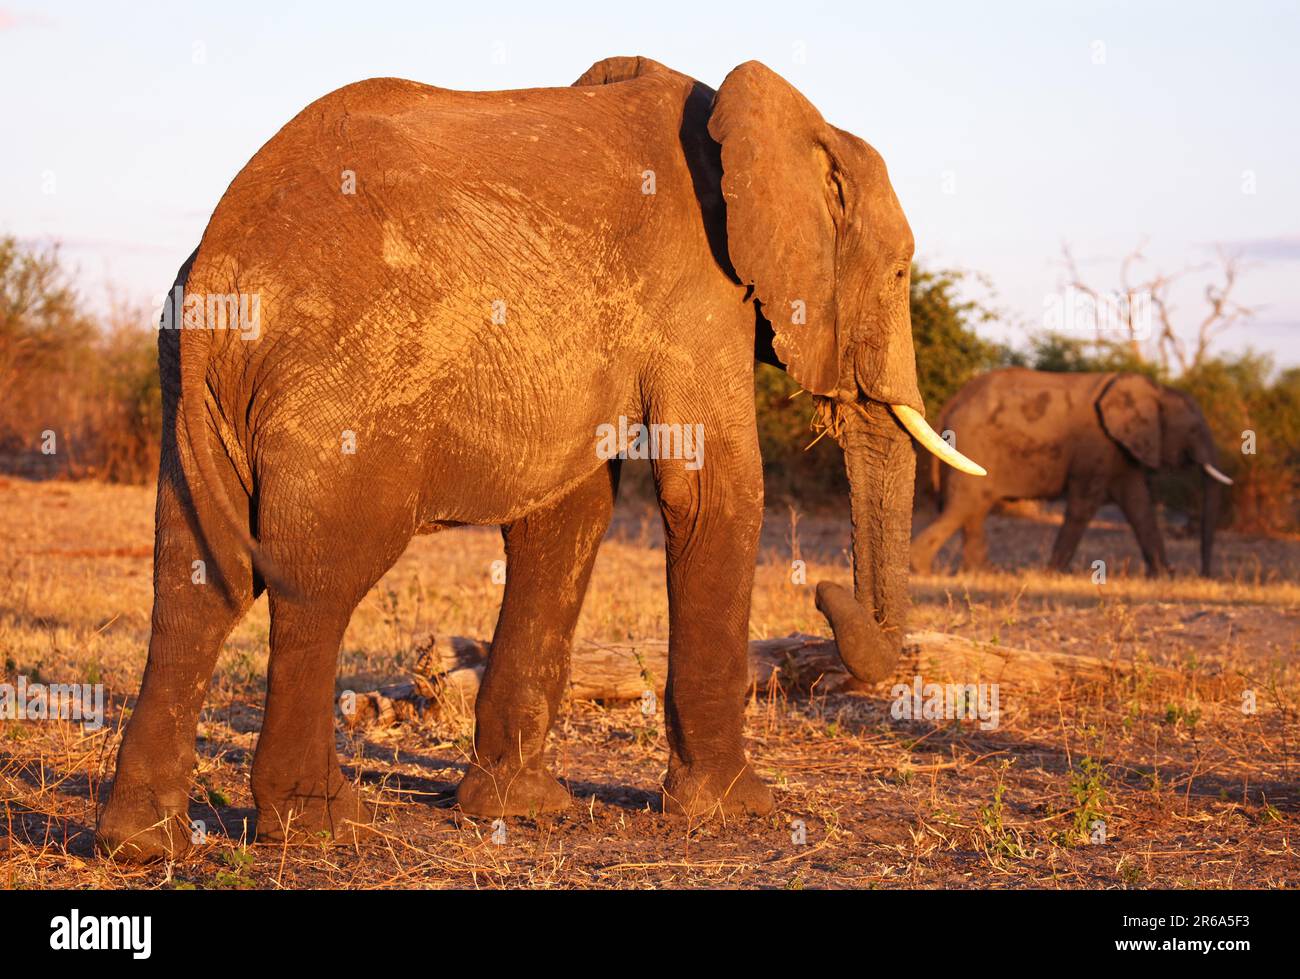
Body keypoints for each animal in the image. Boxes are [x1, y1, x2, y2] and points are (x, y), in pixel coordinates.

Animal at [96, 55, 983, 861]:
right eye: (899, 270)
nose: (827, 592)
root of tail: (223, 255)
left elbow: (571, 509)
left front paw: (522, 810)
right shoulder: (696, 290)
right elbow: (711, 492)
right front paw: (741, 810)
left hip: (191, 380)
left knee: (194, 580)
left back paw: (143, 843)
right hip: (342, 382)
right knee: (318, 581)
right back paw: (323, 825)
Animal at [910, 367, 1232, 577]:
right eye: (1193, 430)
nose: (1205, 575)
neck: (1157, 391)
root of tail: (953, 401)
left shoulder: (1117, 448)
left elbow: (1139, 505)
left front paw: (1164, 576)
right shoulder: (1096, 442)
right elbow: (1084, 505)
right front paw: (1052, 574)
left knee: (974, 510)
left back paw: (982, 573)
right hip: (973, 443)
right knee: (963, 507)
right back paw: (924, 570)